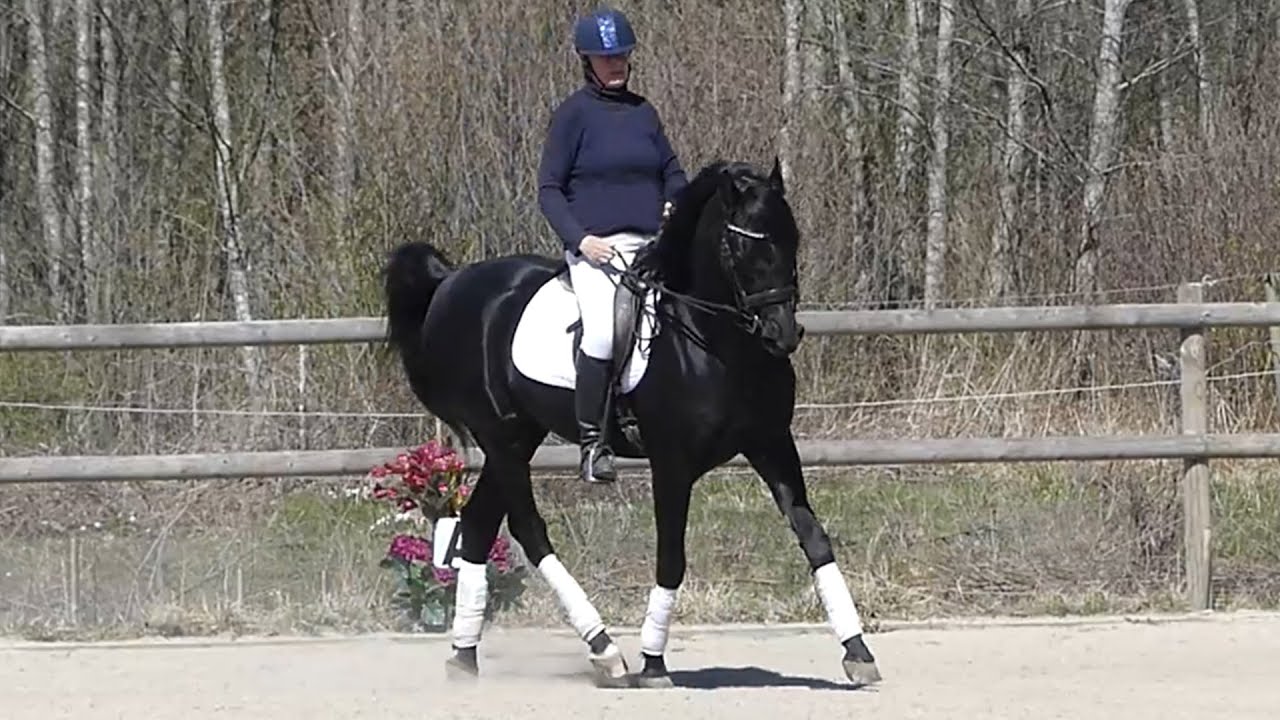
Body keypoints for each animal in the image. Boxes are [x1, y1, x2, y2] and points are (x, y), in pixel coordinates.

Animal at [381, 158, 882, 689]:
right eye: (742, 245)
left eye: (792, 239)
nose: (782, 334)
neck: (715, 343)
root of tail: (452, 281)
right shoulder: (672, 463)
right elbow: (671, 557)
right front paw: (654, 662)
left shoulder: (772, 445)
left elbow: (815, 539)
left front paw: (857, 650)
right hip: (501, 436)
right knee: (528, 529)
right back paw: (604, 649)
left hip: (519, 437)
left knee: (477, 525)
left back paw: (464, 654)